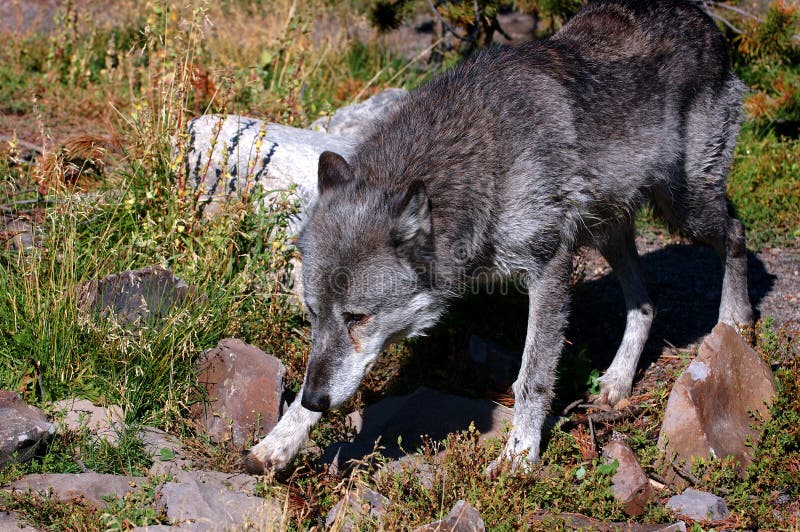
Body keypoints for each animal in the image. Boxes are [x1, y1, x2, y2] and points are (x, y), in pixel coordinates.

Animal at [246, 0, 752, 473]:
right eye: (314, 314)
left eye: (357, 318)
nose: (314, 399)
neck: (481, 158)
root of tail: (700, 15)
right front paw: (280, 439)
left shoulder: (550, 266)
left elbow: (533, 377)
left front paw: (519, 458)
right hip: (607, 229)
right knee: (645, 300)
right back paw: (617, 381)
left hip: (684, 206)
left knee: (735, 232)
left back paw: (734, 327)